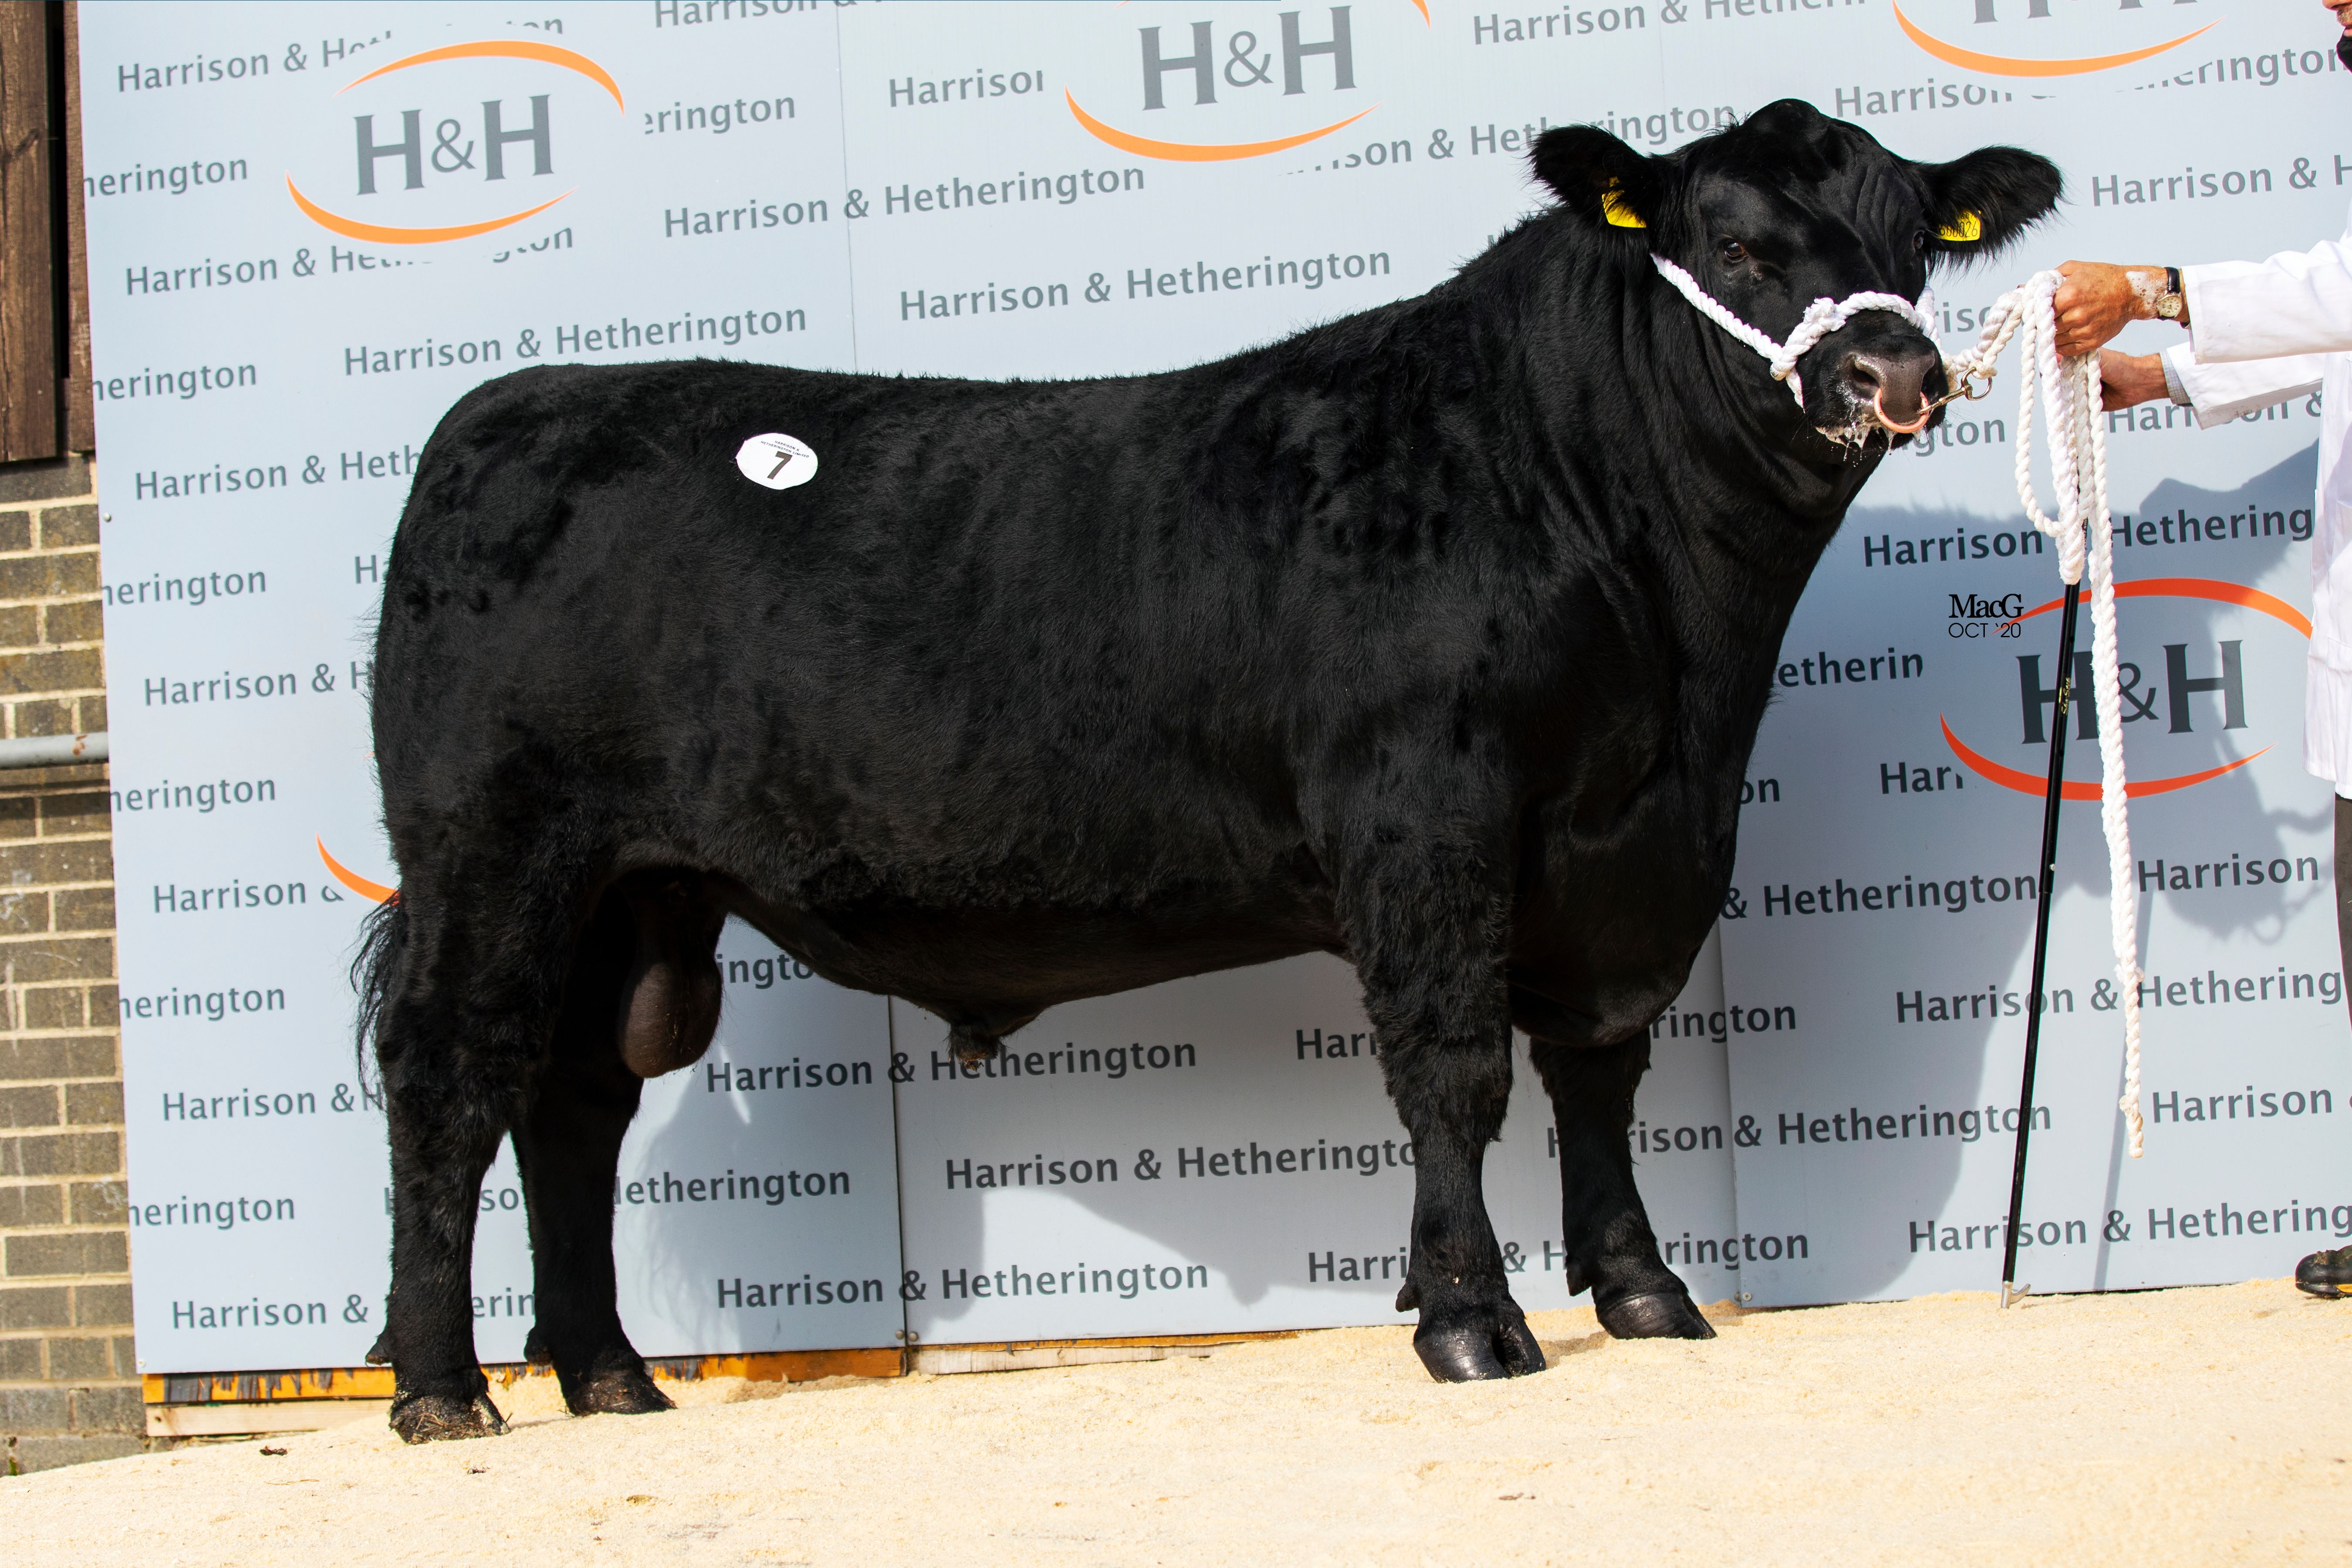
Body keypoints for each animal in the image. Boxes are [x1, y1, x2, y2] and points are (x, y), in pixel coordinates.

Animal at [357, 99, 2060, 1442]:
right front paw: (1471, 1323)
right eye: (1736, 243)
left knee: (572, 1096)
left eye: (1915, 245)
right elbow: (1455, 1067)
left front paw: (1645, 1292)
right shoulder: (1426, 812)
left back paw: (609, 1378)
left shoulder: (1629, 853)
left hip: (635, 889)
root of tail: (510, 407)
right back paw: (444, 1389)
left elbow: (1599, 1070)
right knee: (451, 1075)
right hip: (492, 848)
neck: (1685, 672)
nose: (1895, 370)